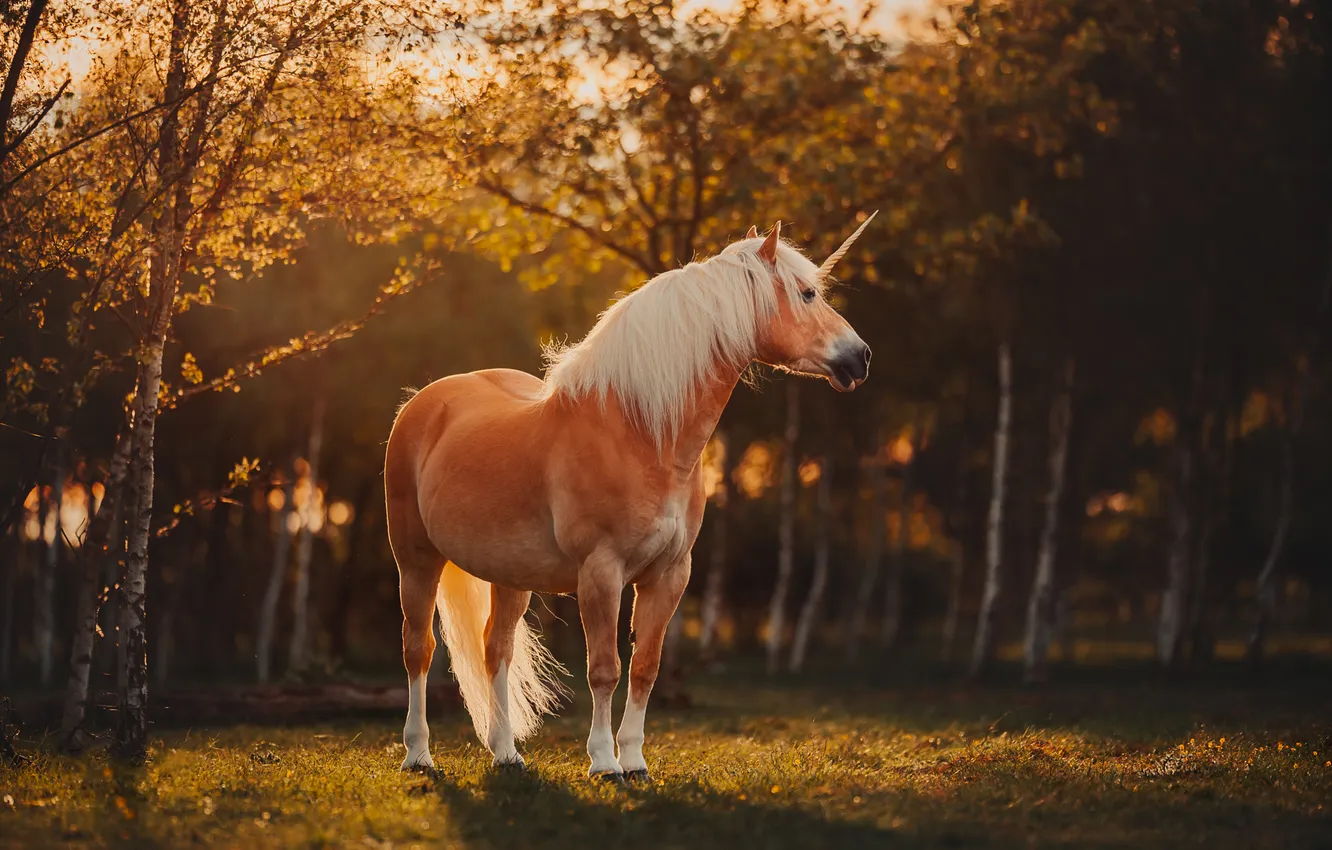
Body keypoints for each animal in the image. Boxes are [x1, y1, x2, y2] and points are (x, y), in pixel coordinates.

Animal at [384, 216, 875, 780]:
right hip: (416, 561)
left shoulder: (669, 575)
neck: (640, 435)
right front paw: (603, 761)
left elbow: (645, 667)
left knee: (496, 650)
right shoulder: (601, 573)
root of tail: (424, 402)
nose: (860, 357)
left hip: (509, 575)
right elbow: (604, 670)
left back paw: (506, 753)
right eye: (807, 293)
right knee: (418, 650)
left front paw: (635, 760)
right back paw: (418, 754)